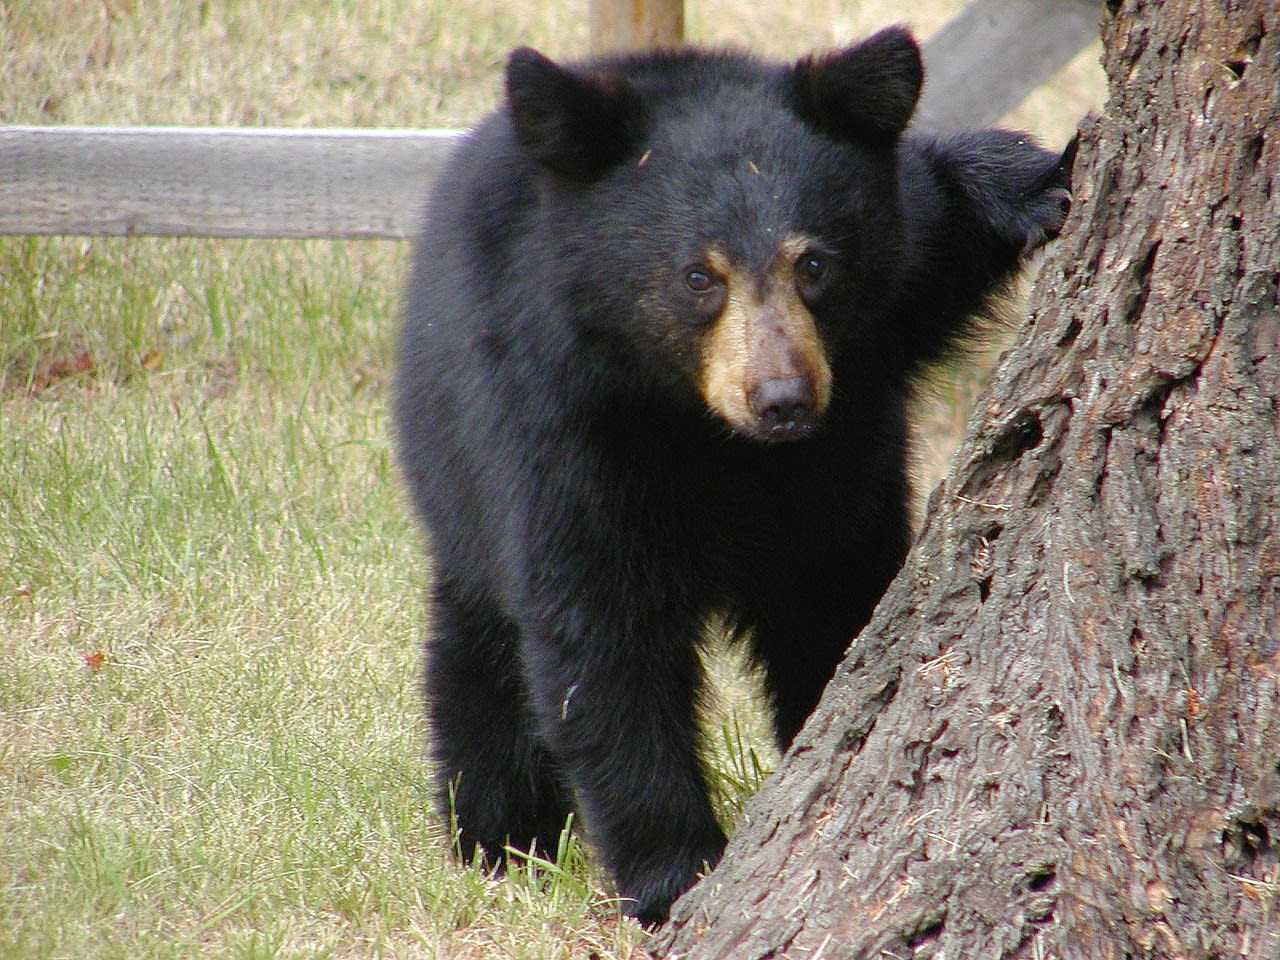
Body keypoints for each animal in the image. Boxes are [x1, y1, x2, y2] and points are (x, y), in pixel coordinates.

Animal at [394, 26, 1074, 926]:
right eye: (698, 276)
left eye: (814, 265)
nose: (783, 399)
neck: (708, 433)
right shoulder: (556, 425)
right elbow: (599, 642)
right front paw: (673, 873)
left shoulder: (876, 341)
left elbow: (929, 227)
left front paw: (1035, 182)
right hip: (454, 485)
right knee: (480, 660)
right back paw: (501, 835)